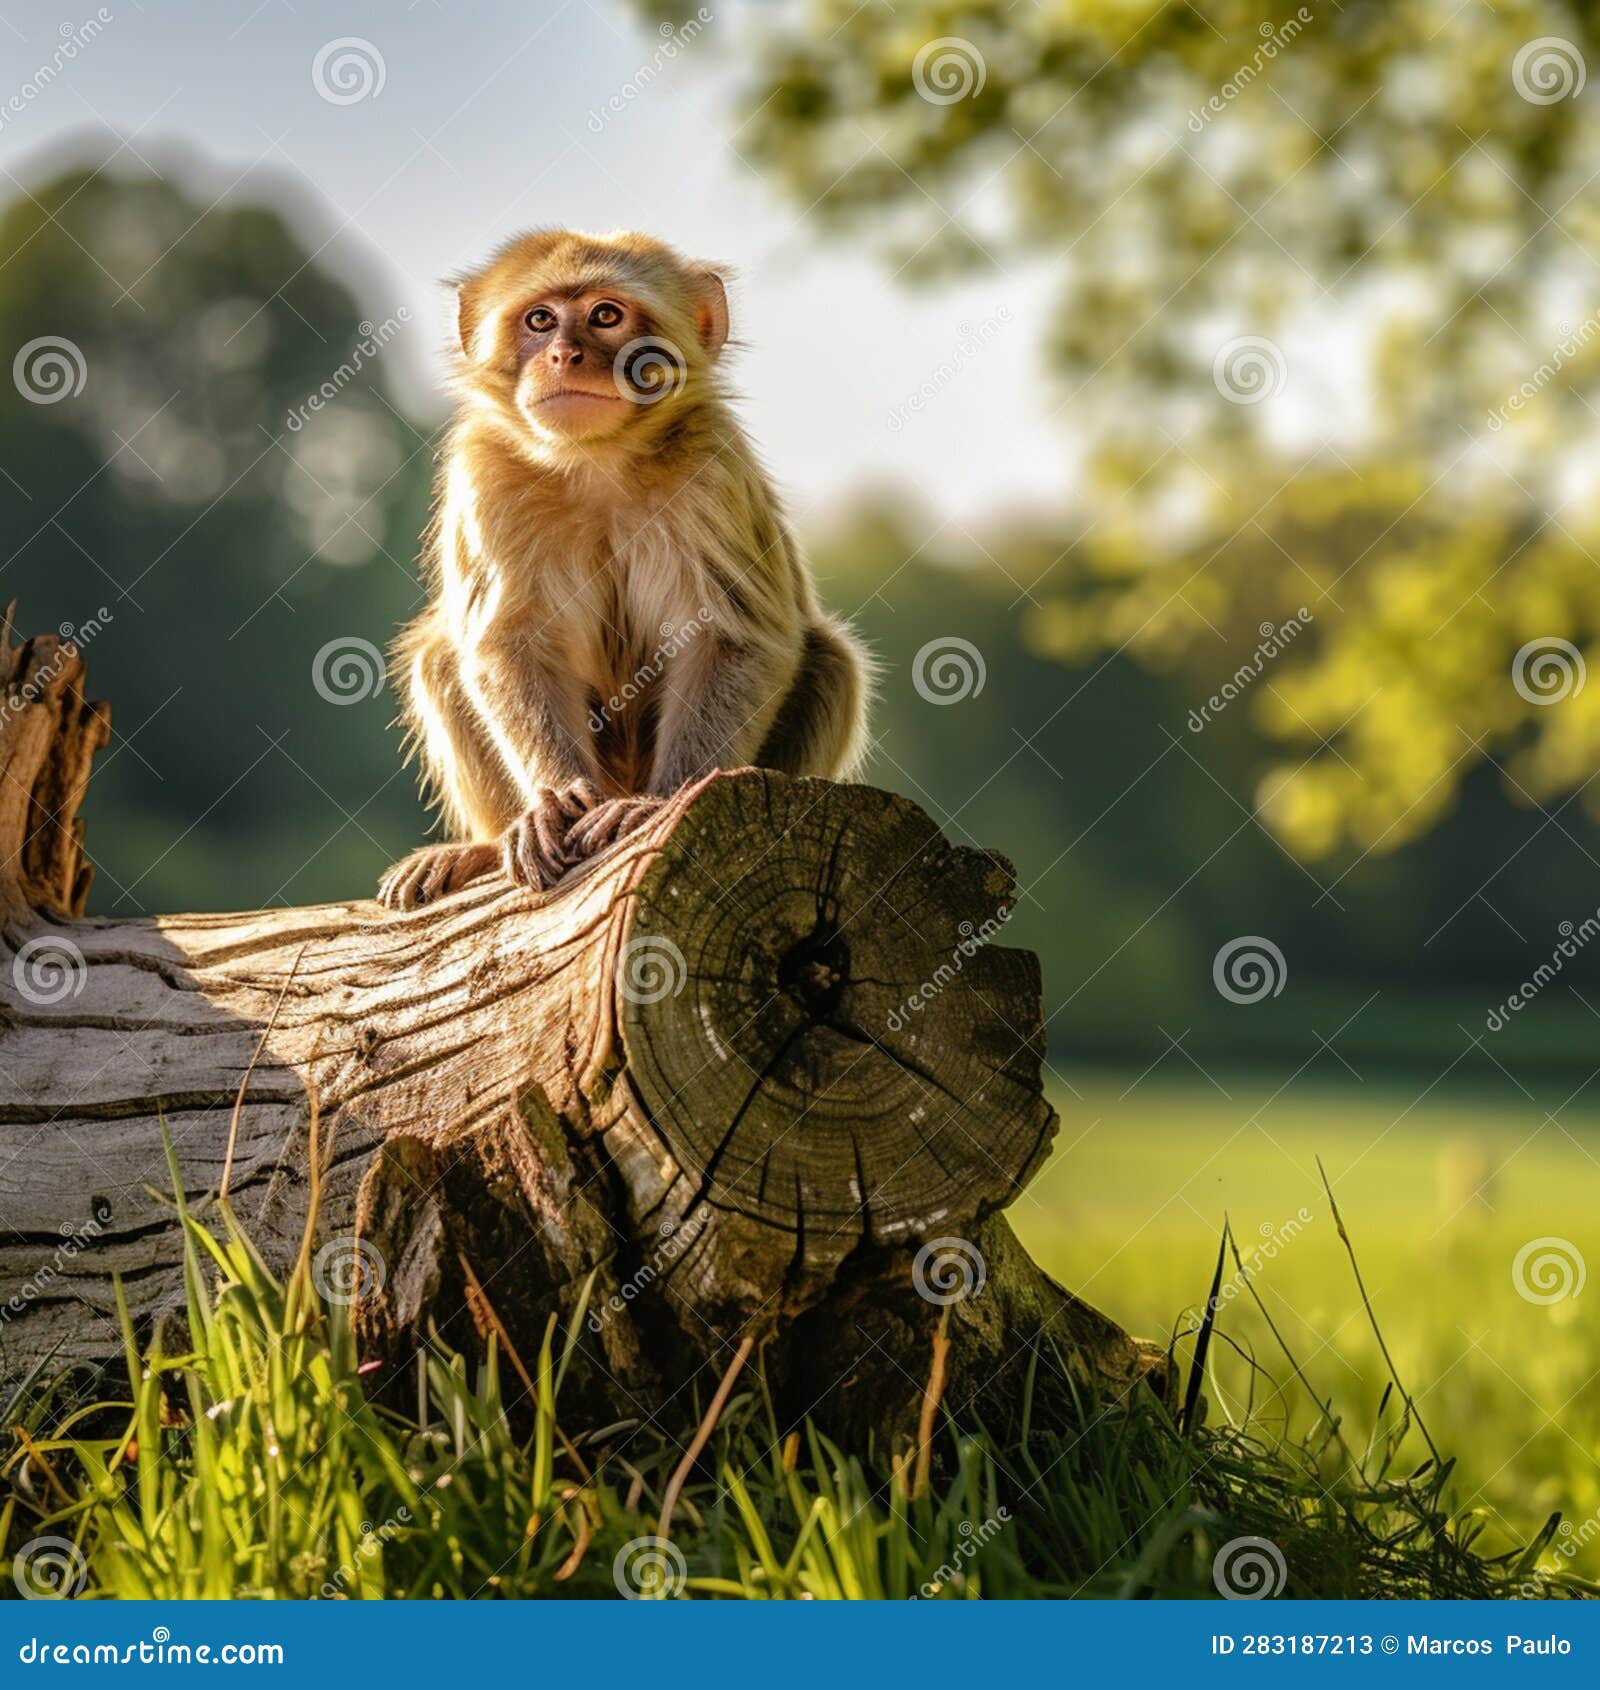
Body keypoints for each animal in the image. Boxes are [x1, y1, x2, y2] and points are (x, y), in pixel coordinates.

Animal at [378, 228, 872, 911]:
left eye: (605, 316)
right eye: (539, 320)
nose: (564, 354)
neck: (598, 461)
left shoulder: (713, 464)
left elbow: (731, 639)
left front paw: (657, 803)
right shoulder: (483, 471)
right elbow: (509, 643)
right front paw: (550, 803)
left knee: (829, 659)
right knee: (439, 656)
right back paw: (483, 848)